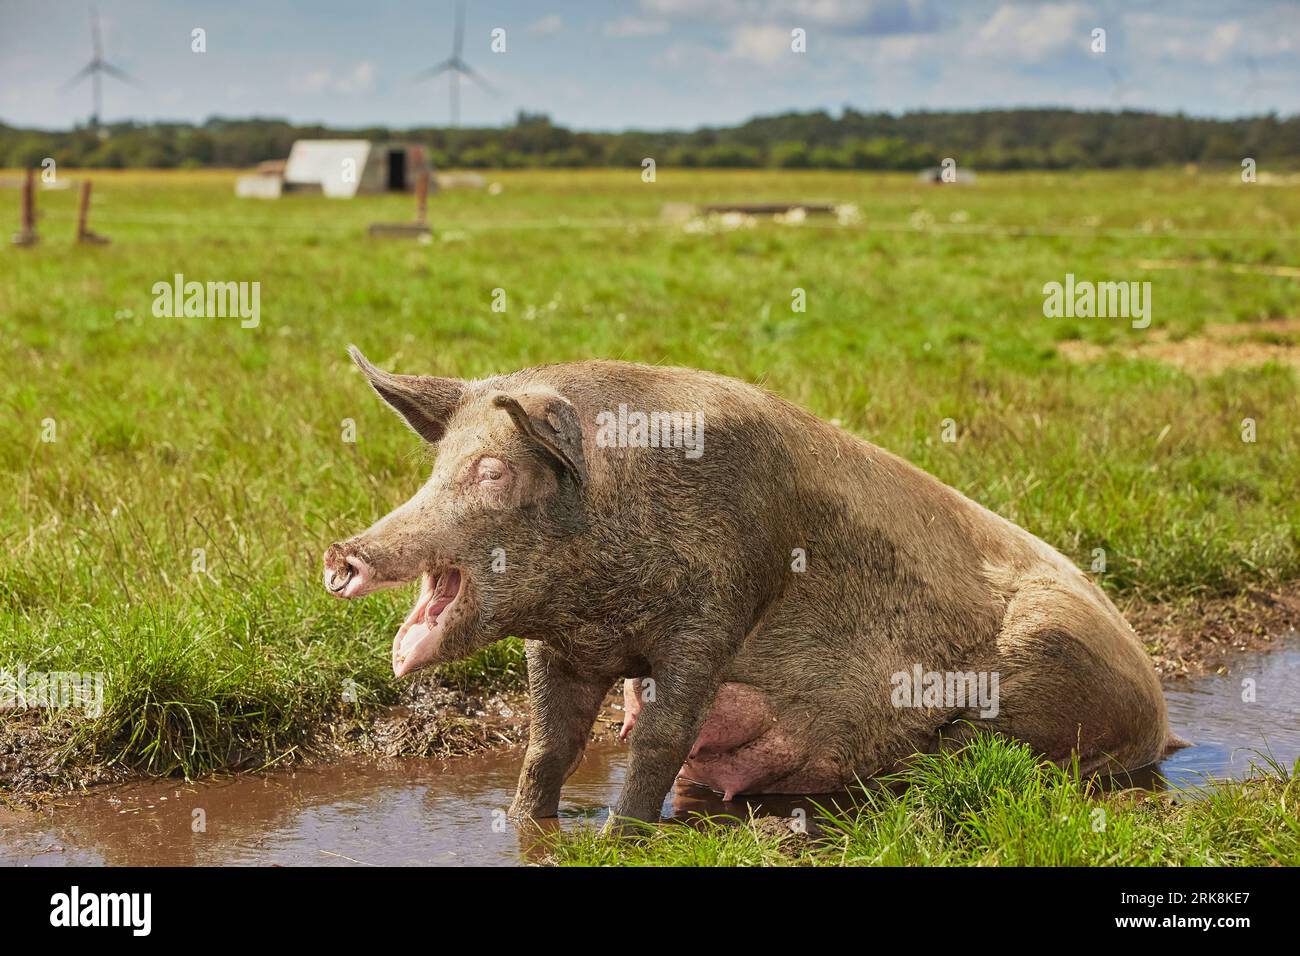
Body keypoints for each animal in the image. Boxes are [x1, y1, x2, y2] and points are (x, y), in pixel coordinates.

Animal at [324, 347, 1175, 826]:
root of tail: (1161, 714)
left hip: (1048, 658)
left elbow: (662, 735)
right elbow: (548, 744)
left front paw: (624, 834)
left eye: (492, 471)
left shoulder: (721, 605)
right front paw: (520, 824)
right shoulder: (564, 644)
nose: (342, 551)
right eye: (436, 468)